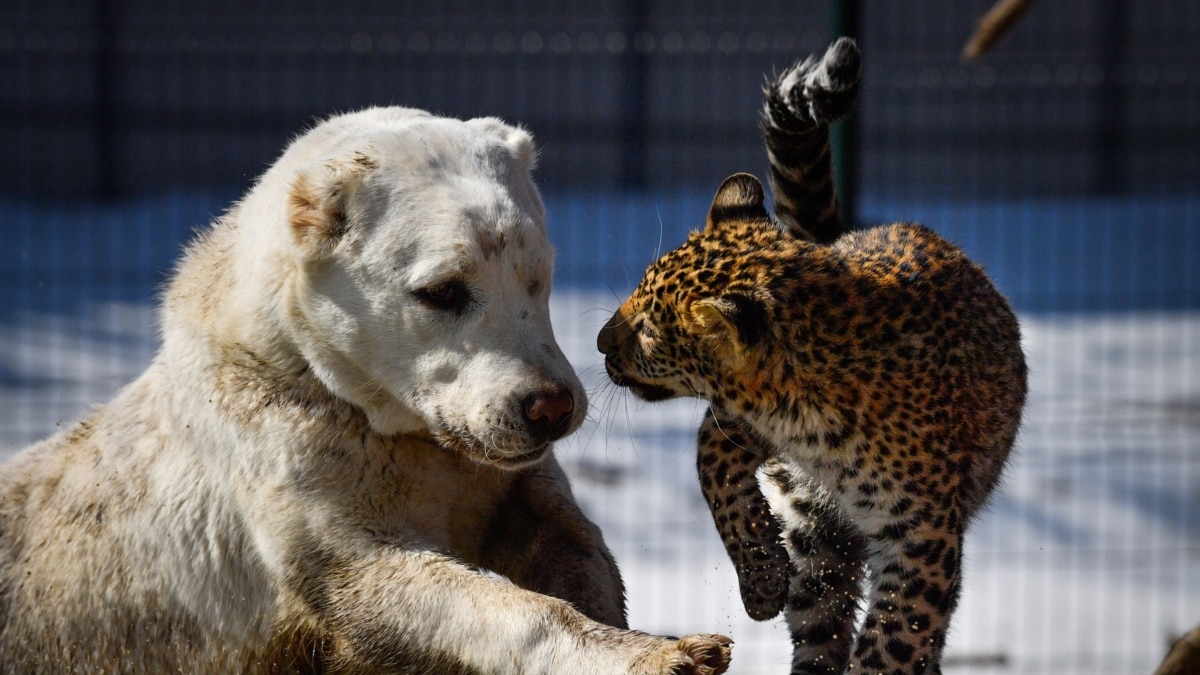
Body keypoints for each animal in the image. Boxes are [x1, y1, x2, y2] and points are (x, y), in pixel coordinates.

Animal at [596, 42, 1027, 675]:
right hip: (820, 543)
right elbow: (712, 470)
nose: (601, 343)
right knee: (820, 621)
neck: (807, 417)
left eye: (650, 331)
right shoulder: (740, 423)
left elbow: (895, 640)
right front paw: (762, 578)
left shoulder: (921, 537)